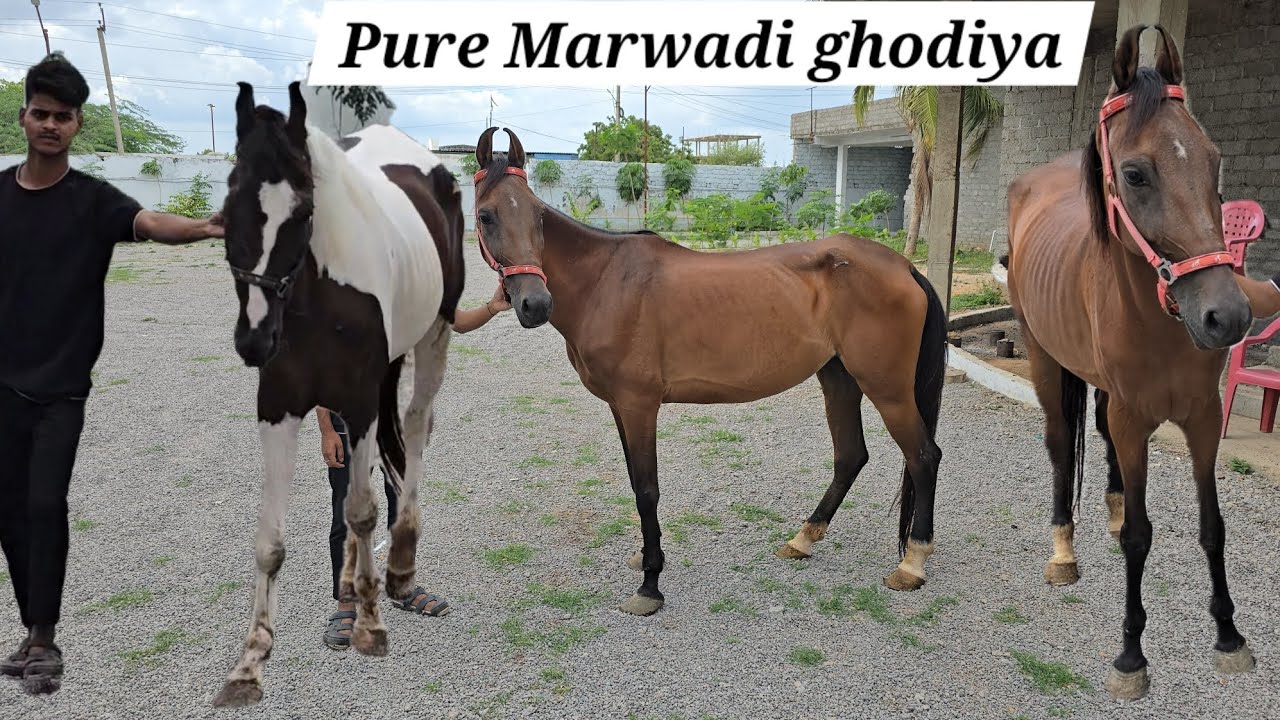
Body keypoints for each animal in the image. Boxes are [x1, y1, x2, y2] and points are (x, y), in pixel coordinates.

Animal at [209, 81, 465, 707]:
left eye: (303, 211)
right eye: (229, 205)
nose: (254, 340)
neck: (316, 294)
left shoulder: (359, 397)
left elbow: (364, 510)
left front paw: (372, 624)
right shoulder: (279, 409)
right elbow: (272, 539)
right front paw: (249, 663)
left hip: (432, 336)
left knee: (416, 427)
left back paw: (399, 563)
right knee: (360, 465)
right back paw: (352, 580)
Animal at [468, 127, 949, 616]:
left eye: (539, 217)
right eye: (486, 216)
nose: (535, 304)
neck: (605, 282)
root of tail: (903, 266)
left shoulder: (639, 404)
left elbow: (647, 489)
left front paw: (650, 584)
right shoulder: (620, 407)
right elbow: (634, 480)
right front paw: (645, 556)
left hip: (887, 388)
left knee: (923, 456)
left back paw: (912, 563)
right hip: (838, 379)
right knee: (850, 456)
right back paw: (803, 539)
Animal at [1003, 25, 1257, 700]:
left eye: (1214, 162)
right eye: (1136, 173)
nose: (1228, 318)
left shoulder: (1200, 421)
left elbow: (1213, 525)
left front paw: (1229, 637)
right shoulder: (1133, 416)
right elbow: (1143, 538)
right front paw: (1131, 656)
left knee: (1100, 438)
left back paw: (1113, 509)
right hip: (1045, 360)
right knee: (1062, 444)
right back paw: (1063, 552)